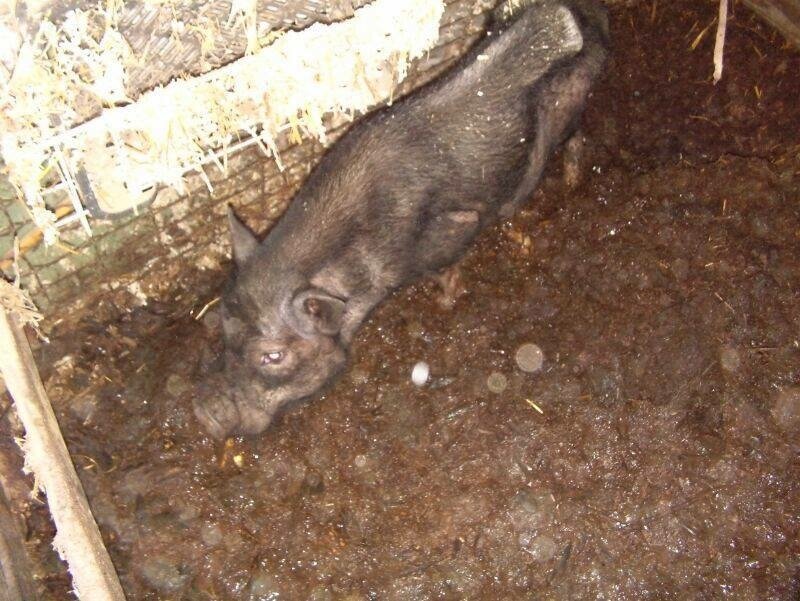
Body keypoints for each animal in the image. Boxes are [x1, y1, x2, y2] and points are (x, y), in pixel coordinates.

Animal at [194, 0, 610, 439]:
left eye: (273, 357)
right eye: (224, 332)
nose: (204, 413)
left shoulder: (457, 225)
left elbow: (444, 267)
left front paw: (444, 301)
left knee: (572, 142)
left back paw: (570, 182)